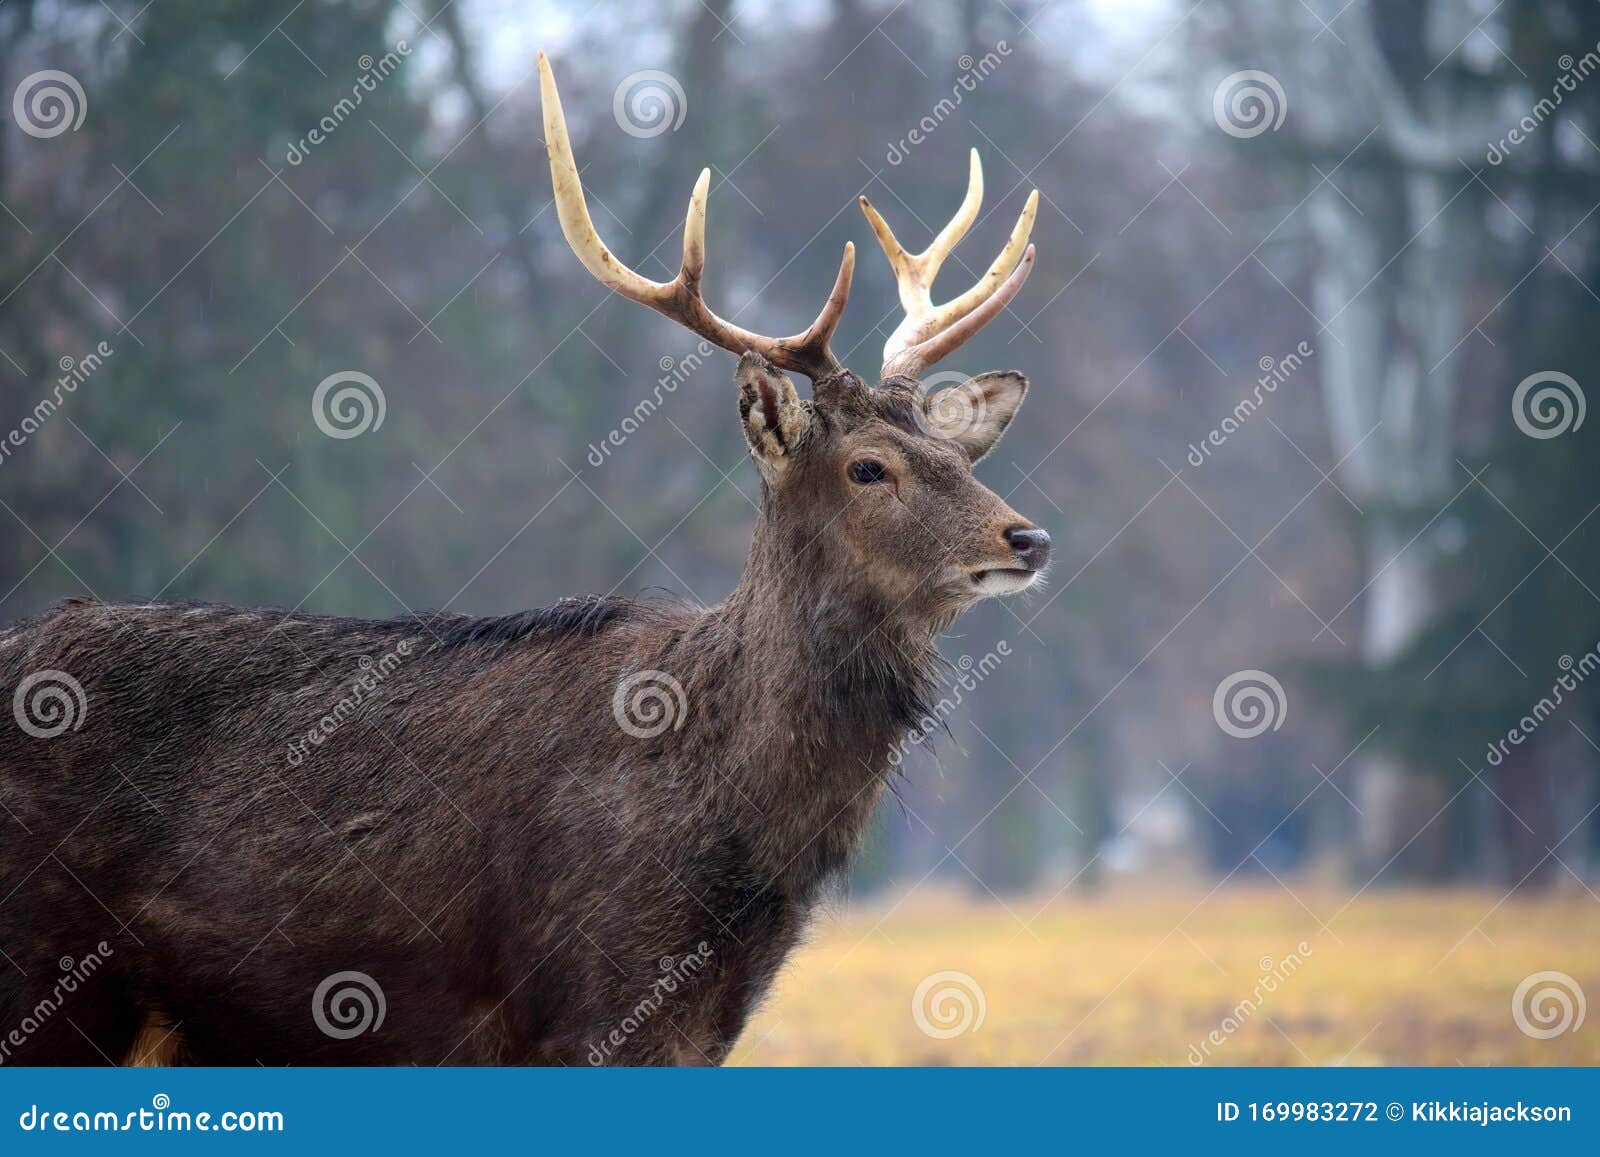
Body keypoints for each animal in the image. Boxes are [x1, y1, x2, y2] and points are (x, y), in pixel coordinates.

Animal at [0, 53, 1049, 1066]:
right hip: (45, 975)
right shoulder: (591, 999)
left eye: (961, 456)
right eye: (868, 466)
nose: (1028, 537)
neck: (735, 839)